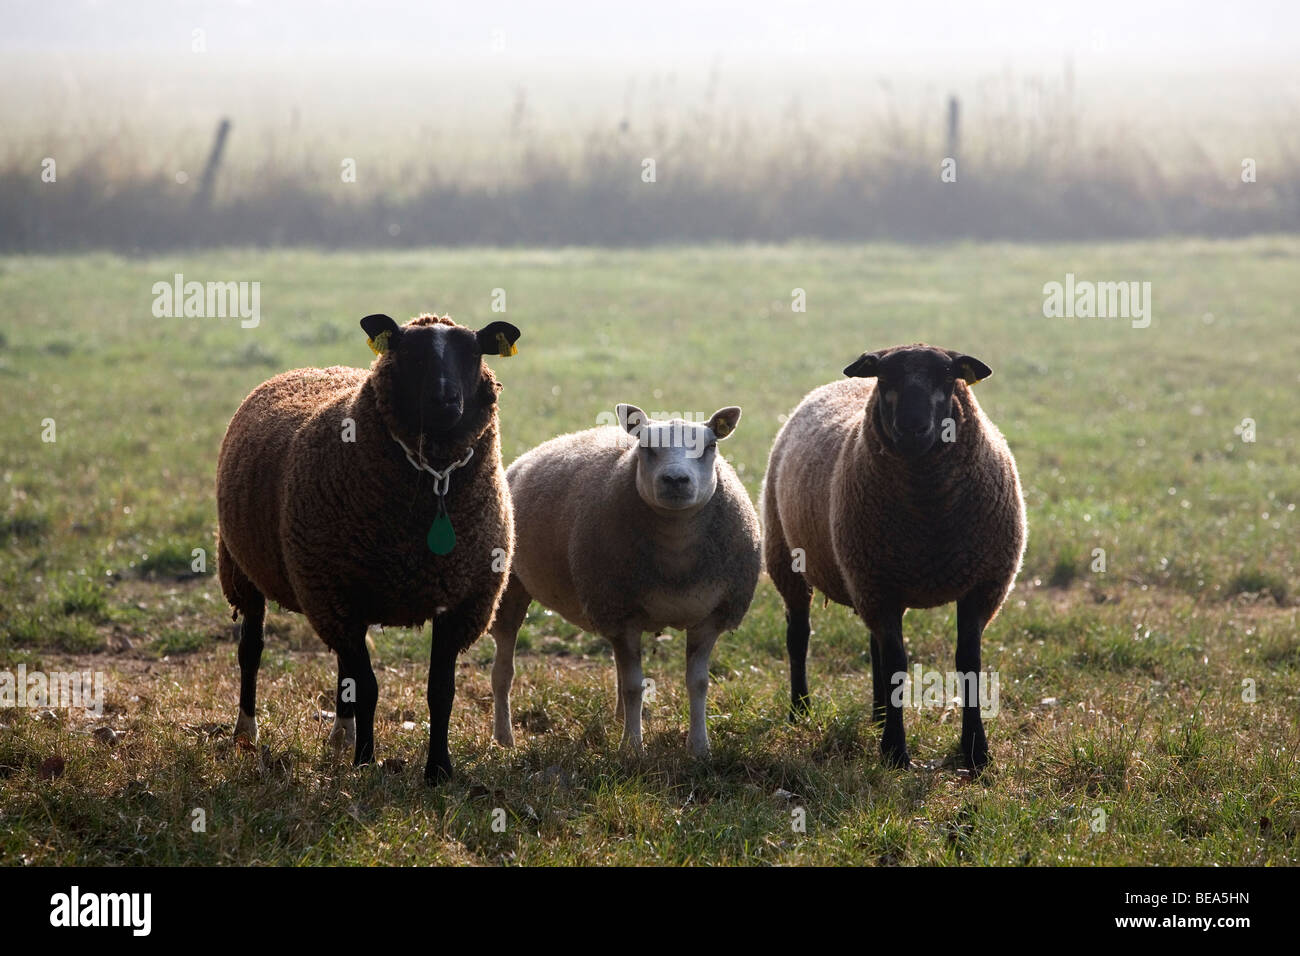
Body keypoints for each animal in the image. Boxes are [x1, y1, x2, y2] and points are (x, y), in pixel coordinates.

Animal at [216, 312, 521, 783]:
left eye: (474, 353)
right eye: (408, 352)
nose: (445, 400)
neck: (434, 480)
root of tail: (310, 369)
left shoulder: (460, 600)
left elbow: (440, 691)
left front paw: (438, 770)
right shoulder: (337, 593)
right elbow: (370, 689)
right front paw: (366, 761)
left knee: (344, 663)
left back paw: (340, 736)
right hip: (245, 570)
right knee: (251, 651)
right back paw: (246, 733)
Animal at [489, 404, 761, 757]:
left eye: (711, 445)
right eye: (645, 446)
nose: (676, 480)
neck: (676, 551)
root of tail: (519, 463)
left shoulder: (710, 617)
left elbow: (697, 683)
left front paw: (699, 748)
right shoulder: (620, 612)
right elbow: (633, 686)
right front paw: (632, 748)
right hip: (511, 590)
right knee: (503, 671)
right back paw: (503, 738)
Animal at [761, 343, 1025, 772]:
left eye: (948, 374)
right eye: (885, 378)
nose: (913, 427)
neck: (927, 515)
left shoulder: (982, 585)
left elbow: (967, 662)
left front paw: (976, 752)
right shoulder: (879, 586)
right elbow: (898, 665)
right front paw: (895, 752)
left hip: (866, 576)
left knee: (874, 647)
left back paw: (878, 713)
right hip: (790, 559)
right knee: (798, 637)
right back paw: (800, 711)